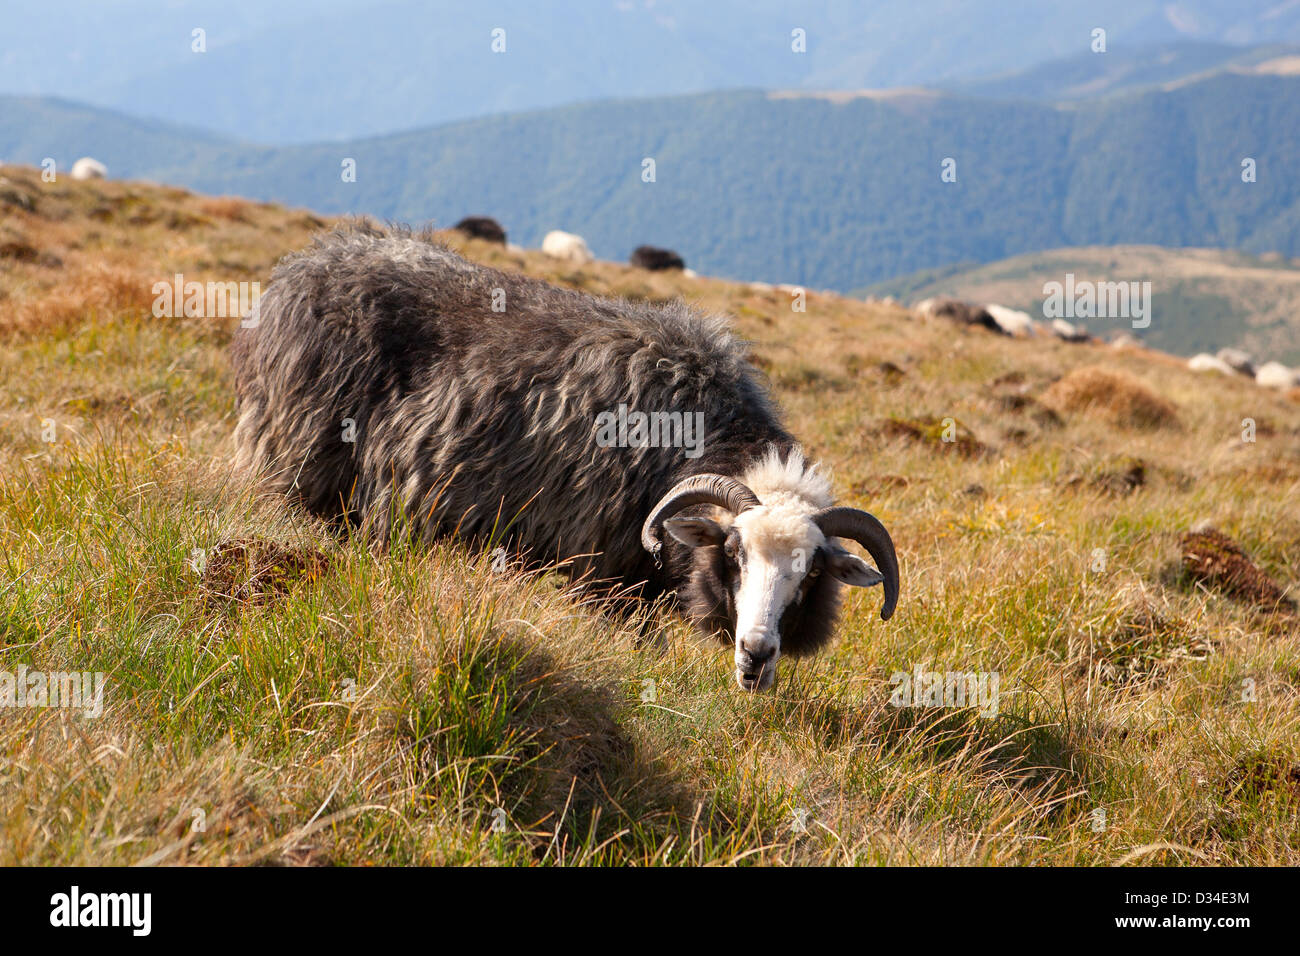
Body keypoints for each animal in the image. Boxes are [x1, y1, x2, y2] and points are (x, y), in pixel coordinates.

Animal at [230, 223, 899, 693]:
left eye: (809, 573)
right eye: (733, 554)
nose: (756, 656)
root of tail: (301, 268)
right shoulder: (603, 577)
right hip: (292, 465)